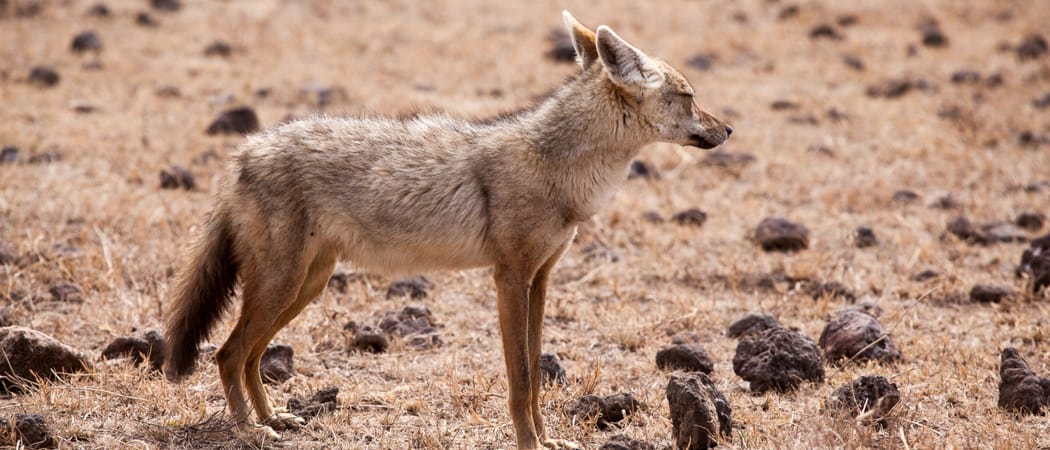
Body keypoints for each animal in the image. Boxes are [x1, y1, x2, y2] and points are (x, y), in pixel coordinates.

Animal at [163, 11, 731, 449]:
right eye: (689, 95)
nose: (727, 129)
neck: (558, 168)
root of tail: (244, 151)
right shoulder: (509, 278)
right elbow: (521, 379)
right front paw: (530, 444)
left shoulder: (541, 280)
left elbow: (535, 374)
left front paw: (548, 439)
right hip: (283, 286)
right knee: (228, 353)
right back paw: (250, 431)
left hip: (305, 286)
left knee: (251, 355)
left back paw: (273, 419)